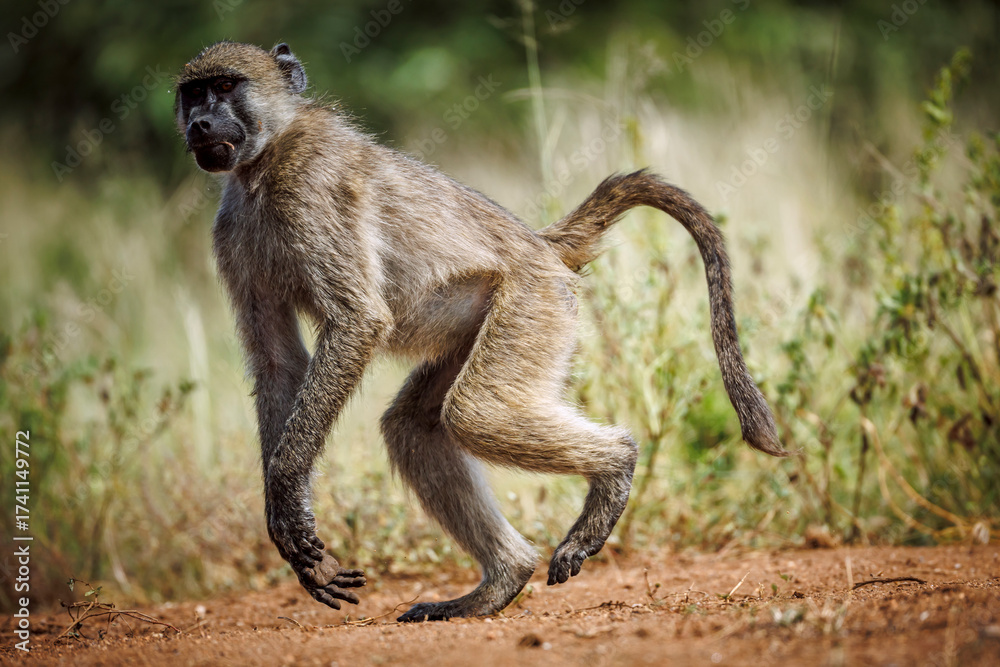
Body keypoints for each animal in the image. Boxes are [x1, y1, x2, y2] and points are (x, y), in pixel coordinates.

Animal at [175, 41, 786, 622]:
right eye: (193, 92)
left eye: (226, 87)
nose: (199, 124)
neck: (265, 159)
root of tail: (541, 246)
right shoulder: (232, 232)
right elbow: (278, 363)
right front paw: (290, 525)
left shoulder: (308, 187)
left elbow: (356, 320)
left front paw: (288, 496)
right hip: (489, 326)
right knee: (414, 426)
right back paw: (499, 584)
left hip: (533, 303)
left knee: (476, 413)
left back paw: (614, 469)